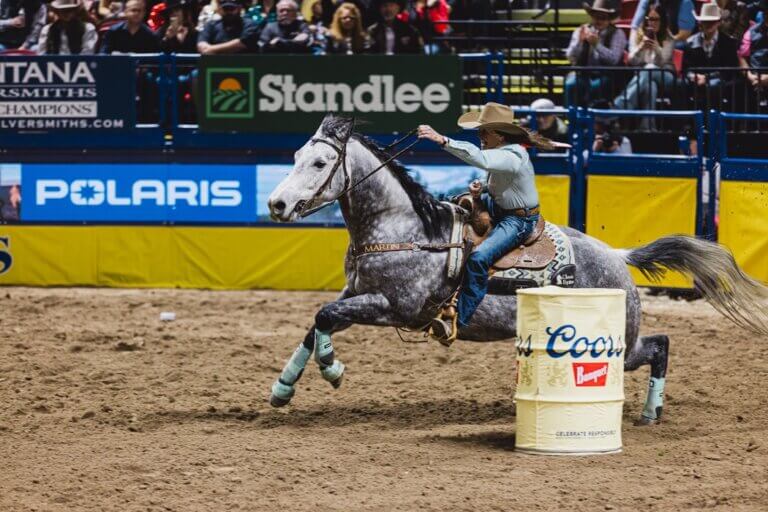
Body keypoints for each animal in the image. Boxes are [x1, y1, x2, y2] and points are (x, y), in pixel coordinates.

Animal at [265, 114, 768, 424]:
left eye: (321, 162)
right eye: (294, 158)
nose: (277, 204)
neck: (405, 227)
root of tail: (618, 256)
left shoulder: (396, 307)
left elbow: (324, 318)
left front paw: (332, 369)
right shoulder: (358, 296)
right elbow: (316, 322)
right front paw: (283, 387)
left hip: (618, 342)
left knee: (660, 347)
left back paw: (649, 412)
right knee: (660, 344)